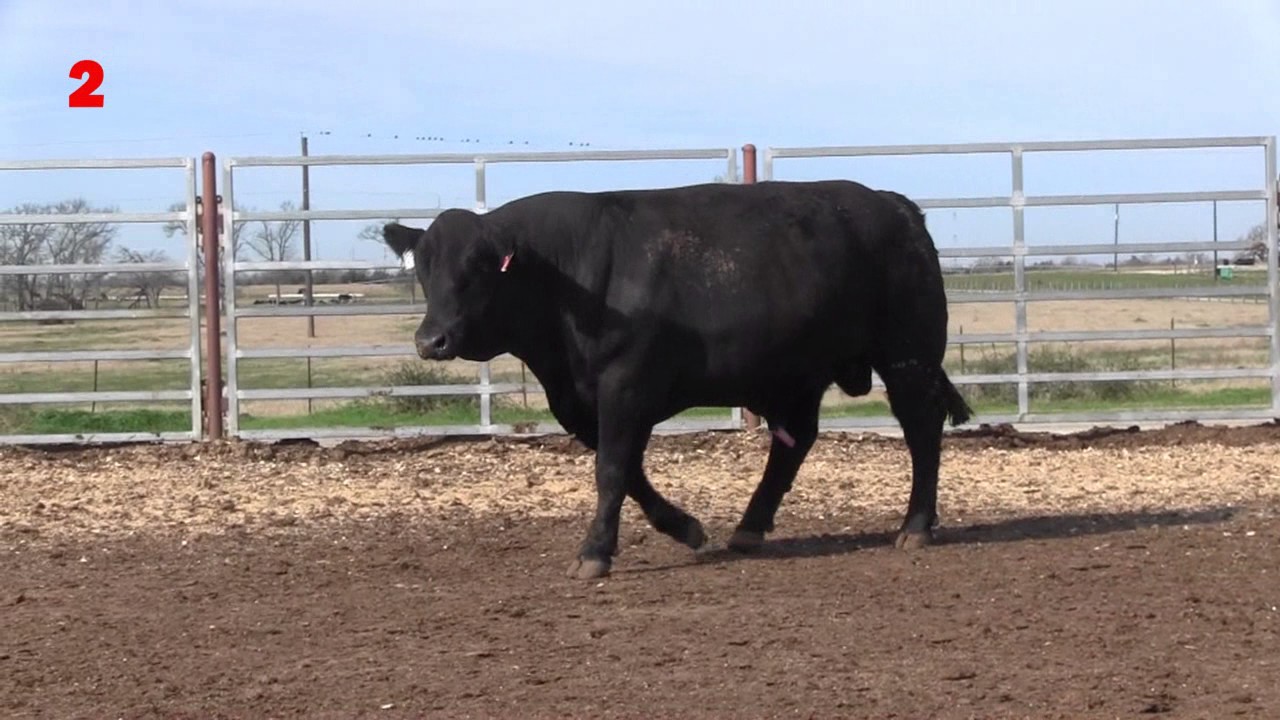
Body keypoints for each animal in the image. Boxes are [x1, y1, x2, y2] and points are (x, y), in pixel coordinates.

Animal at [382, 179, 972, 580]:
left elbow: (612, 470)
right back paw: (750, 527)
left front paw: (593, 553)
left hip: (907, 355)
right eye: (423, 269)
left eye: (477, 267)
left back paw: (915, 526)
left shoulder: (625, 386)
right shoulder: (580, 401)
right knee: (796, 441)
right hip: (797, 370)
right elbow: (628, 472)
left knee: (922, 428)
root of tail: (895, 205)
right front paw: (685, 528)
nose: (431, 340)